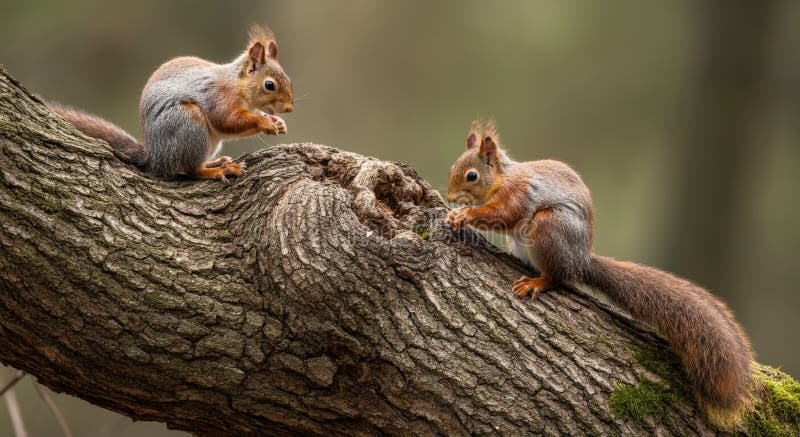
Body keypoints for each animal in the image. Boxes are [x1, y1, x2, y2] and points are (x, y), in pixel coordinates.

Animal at [46, 24, 293, 184]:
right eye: (269, 85)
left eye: (289, 80)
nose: (289, 109)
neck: (237, 85)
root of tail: (155, 155)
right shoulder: (219, 96)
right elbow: (226, 120)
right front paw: (264, 122)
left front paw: (277, 122)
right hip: (189, 124)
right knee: (190, 170)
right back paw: (218, 171)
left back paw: (216, 163)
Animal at [444, 120, 753, 428]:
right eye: (452, 168)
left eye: (471, 175)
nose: (449, 197)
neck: (501, 179)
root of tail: (580, 260)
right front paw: (455, 214)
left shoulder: (518, 194)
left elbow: (503, 214)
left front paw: (465, 215)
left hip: (548, 228)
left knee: (557, 276)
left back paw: (537, 282)